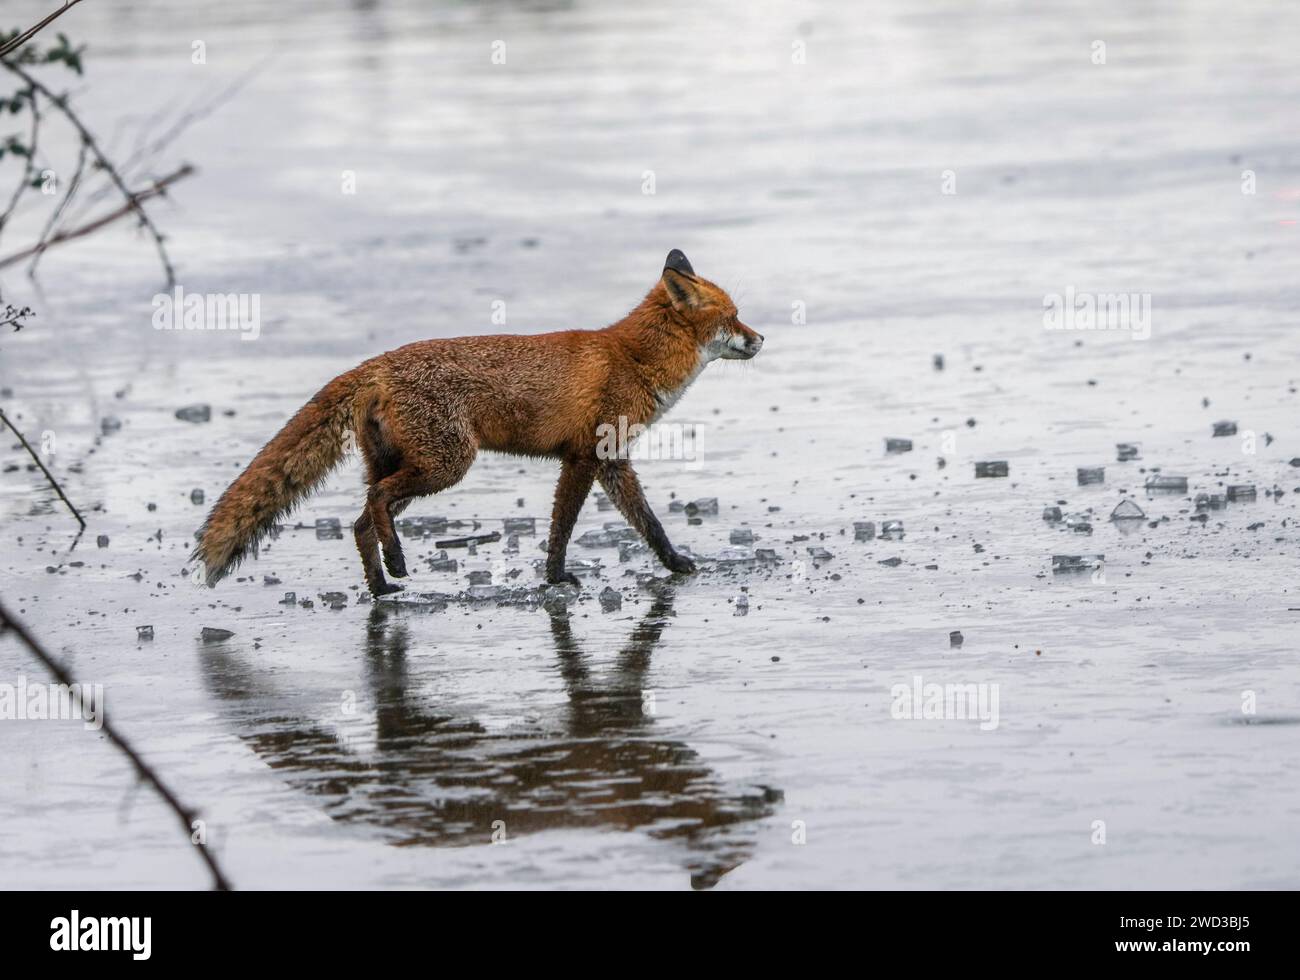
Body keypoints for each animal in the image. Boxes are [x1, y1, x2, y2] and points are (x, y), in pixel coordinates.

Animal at [191, 250, 763, 596]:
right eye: (733, 316)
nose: (761, 339)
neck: (633, 359)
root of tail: (377, 364)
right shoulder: (586, 456)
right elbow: (564, 528)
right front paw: (557, 579)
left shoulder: (610, 461)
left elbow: (648, 523)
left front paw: (675, 563)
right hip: (447, 464)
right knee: (376, 502)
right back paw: (396, 562)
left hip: (405, 464)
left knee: (360, 521)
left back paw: (381, 587)